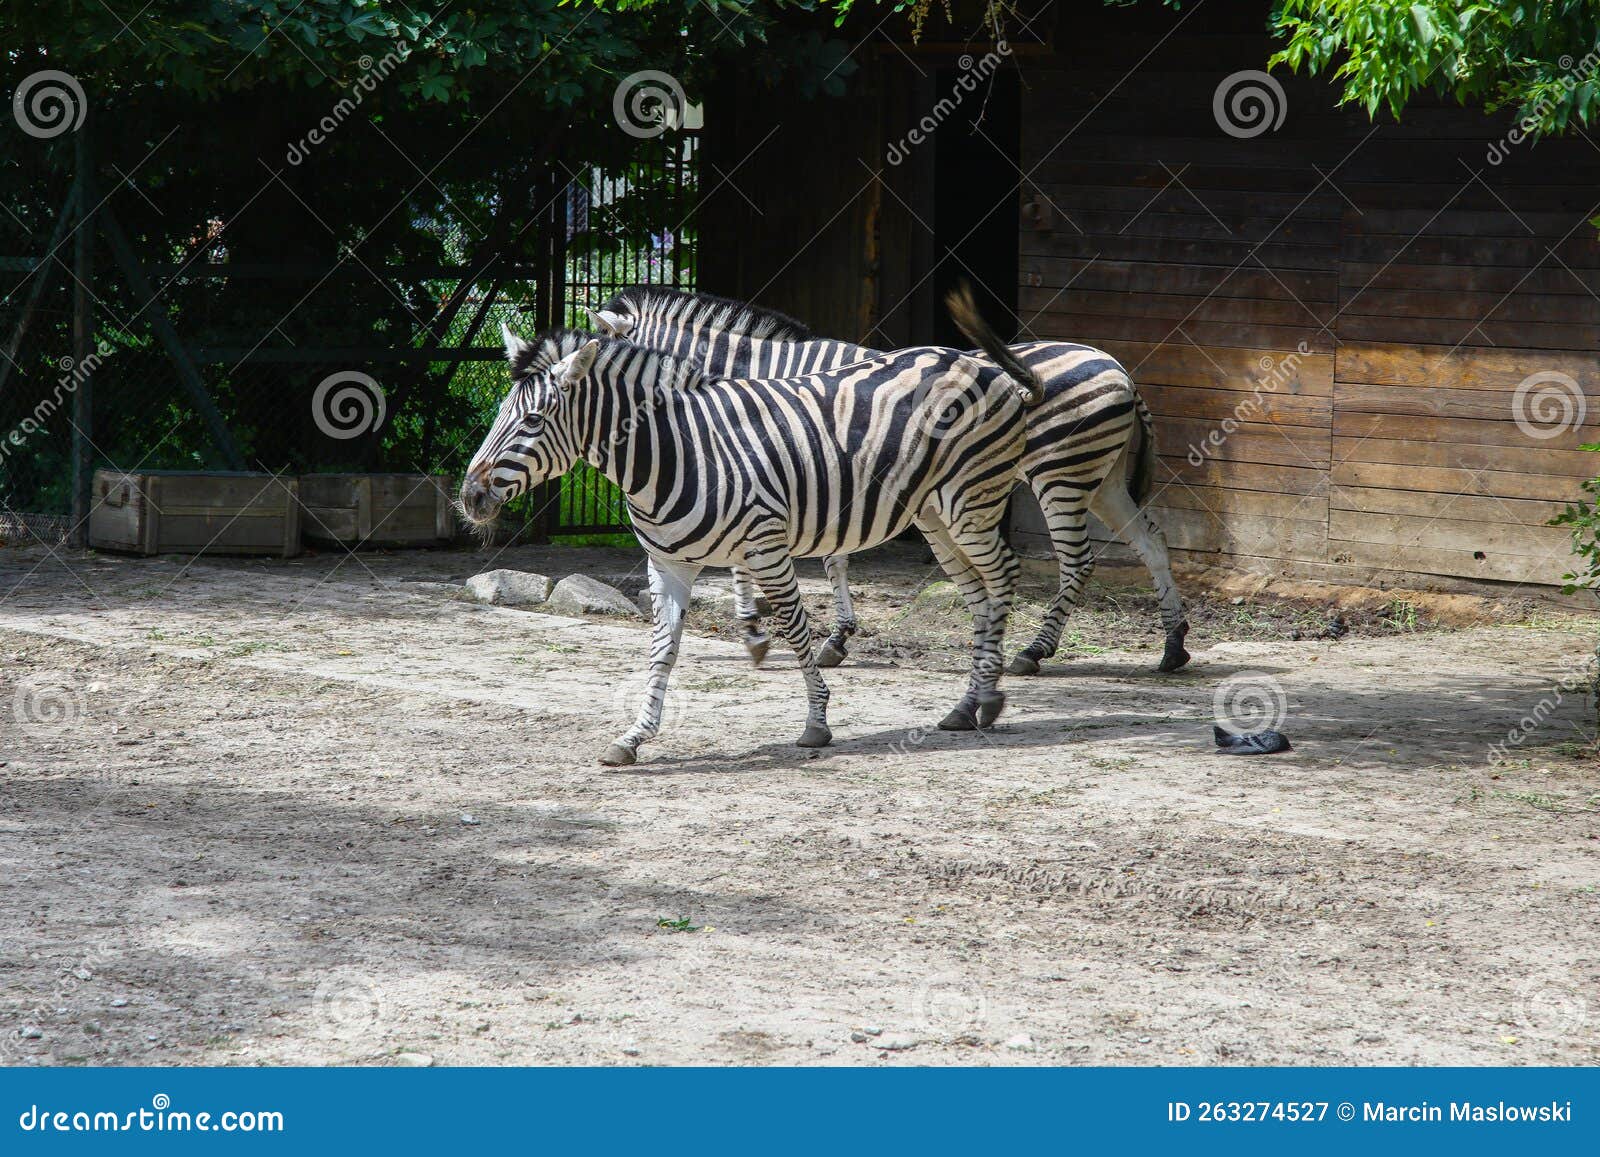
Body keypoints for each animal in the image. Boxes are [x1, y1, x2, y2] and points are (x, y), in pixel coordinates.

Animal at [458, 287, 1043, 766]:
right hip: (934, 514)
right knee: (978, 594)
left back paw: (995, 692)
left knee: (1005, 576)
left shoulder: (766, 545)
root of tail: (979, 365)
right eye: (501, 411)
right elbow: (662, 648)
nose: (469, 497)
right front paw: (634, 736)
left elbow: (796, 626)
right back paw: (967, 705)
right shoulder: (666, 565)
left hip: (973, 500)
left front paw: (815, 720)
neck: (675, 449)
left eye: (533, 421)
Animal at [587, 285, 1190, 676]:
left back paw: (1034, 652)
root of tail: (1120, 369)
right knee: (1151, 541)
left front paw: (786, 636)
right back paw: (1173, 647)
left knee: (1078, 561)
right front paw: (792, 633)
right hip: (1102, 478)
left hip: (1059, 474)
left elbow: (819, 559)